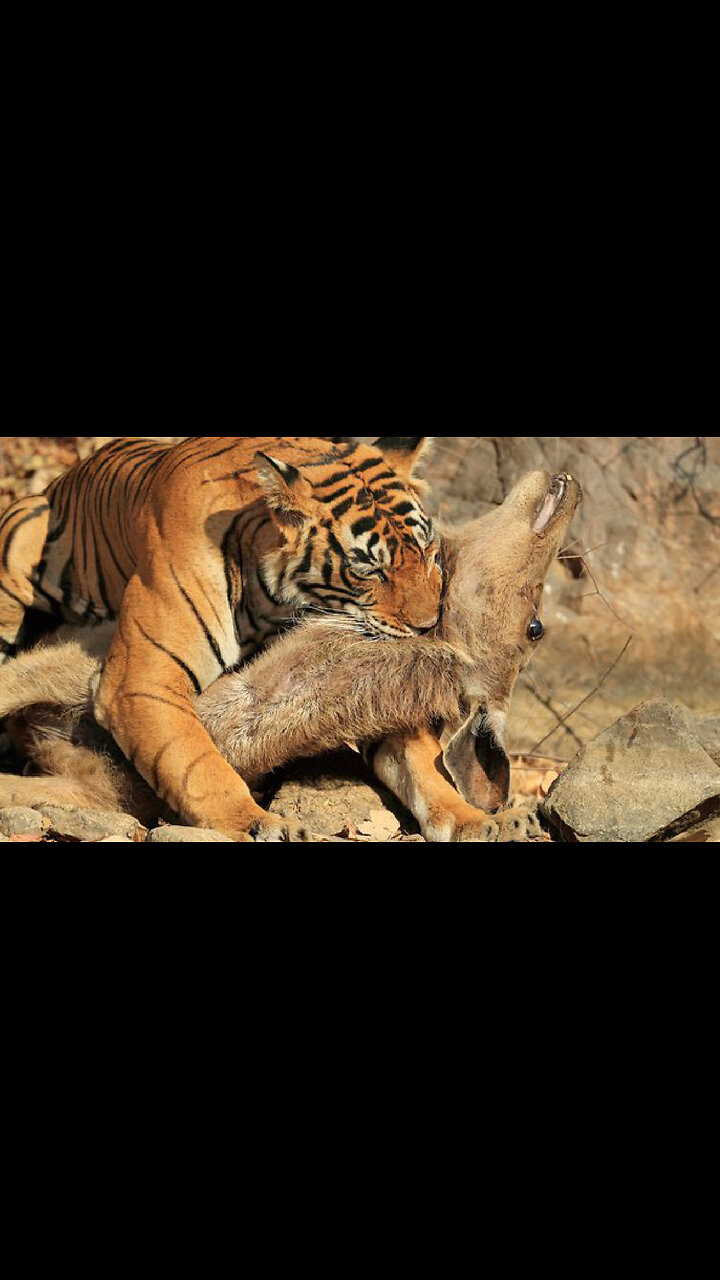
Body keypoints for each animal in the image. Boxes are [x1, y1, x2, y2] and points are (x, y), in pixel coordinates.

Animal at [0, 436, 442, 840]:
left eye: (428, 549)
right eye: (368, 570)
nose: (429, 624)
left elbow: (410, 745)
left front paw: (456, 814)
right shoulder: (139, 680)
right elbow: (194, 761)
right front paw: (255, 823)